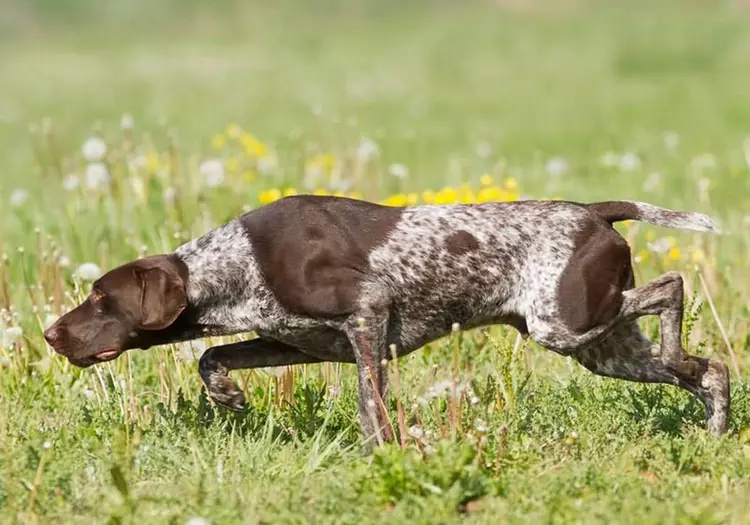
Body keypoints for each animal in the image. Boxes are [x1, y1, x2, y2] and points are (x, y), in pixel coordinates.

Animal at [44, 194, 732, 444]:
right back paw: (716, 424)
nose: (51, 333)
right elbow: (213, 354)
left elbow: (370, 404)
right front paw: (228, 396)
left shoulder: (368, 315)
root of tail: (594, 211)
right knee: (710, 371)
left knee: (672, 288)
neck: (237, 263)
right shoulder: (301, 342)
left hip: (563, 322)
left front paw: (383, 452)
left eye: (101, 299)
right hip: (602, 344)